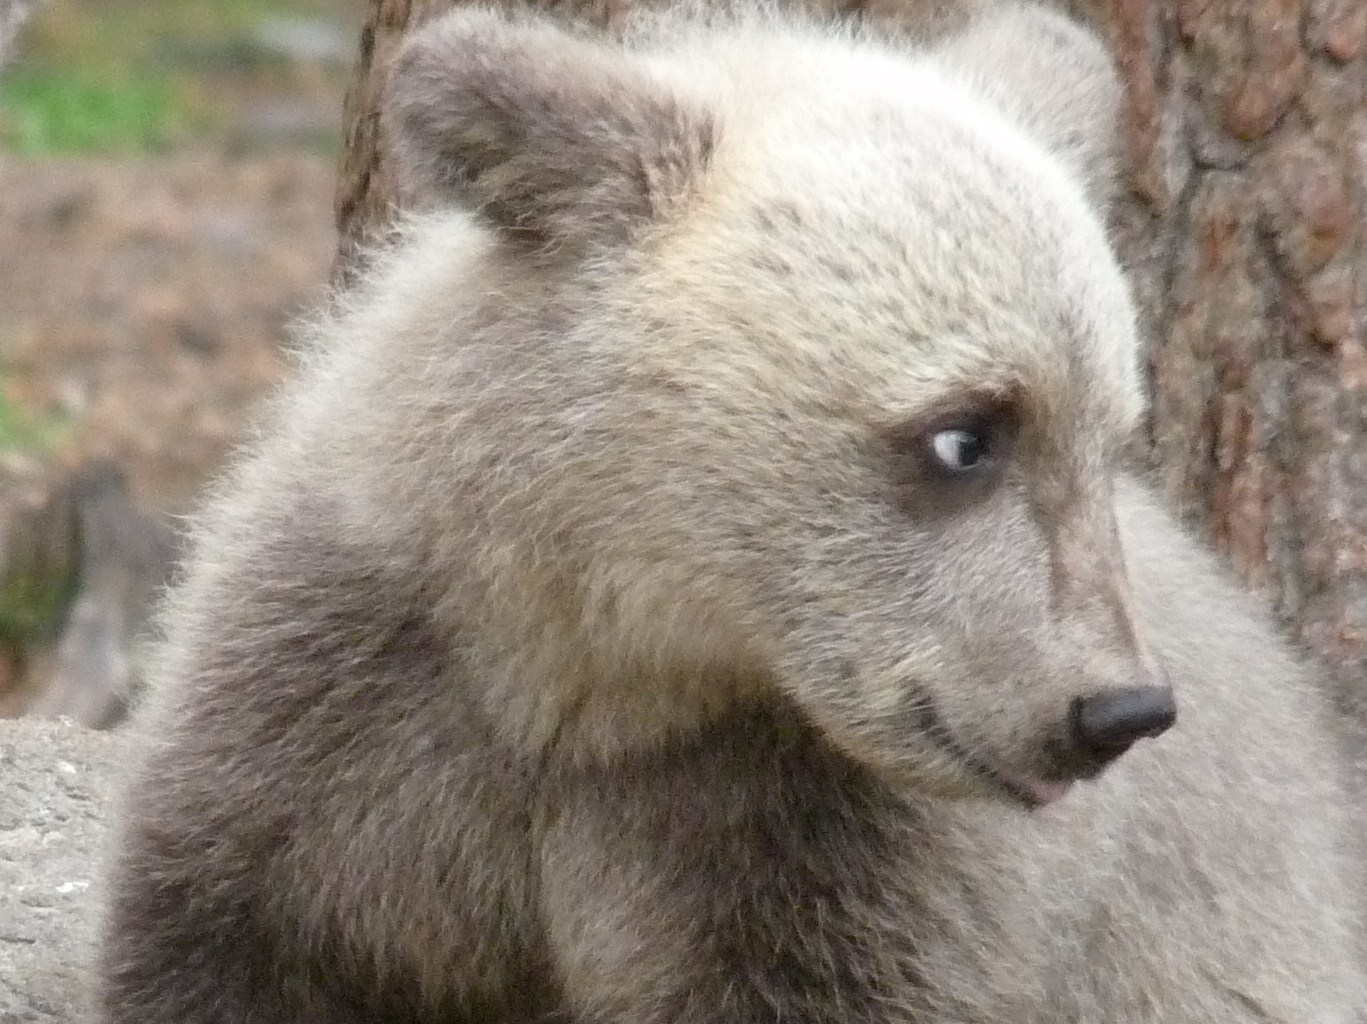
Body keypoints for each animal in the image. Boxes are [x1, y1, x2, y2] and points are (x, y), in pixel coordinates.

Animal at [96, 2, 1365, 1022]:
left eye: (1109, 432)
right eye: (965, 432)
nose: (1112, 706)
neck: (610, 667)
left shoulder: (817, 844)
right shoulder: (348, 731)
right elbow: (233, 936)